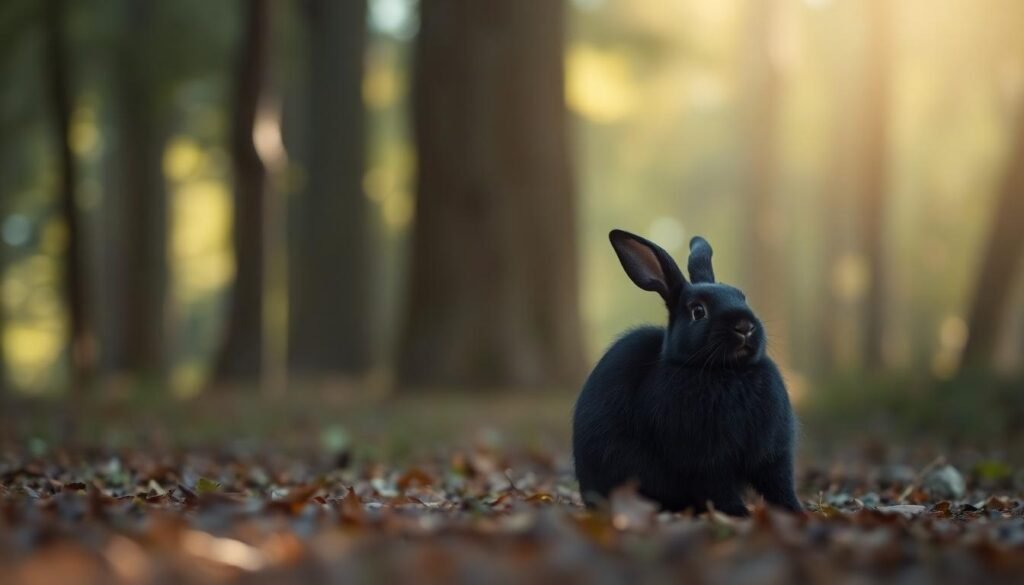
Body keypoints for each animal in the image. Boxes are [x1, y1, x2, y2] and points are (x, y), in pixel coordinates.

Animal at [572, 229, 802, 516]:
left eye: (742, 297)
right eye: (698, 311)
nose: (745, 326)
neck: (727, 372)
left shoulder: (773, 453)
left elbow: (779, 483)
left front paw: (795, 510)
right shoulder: (704, 459)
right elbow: (718, 487)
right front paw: (738, 512)